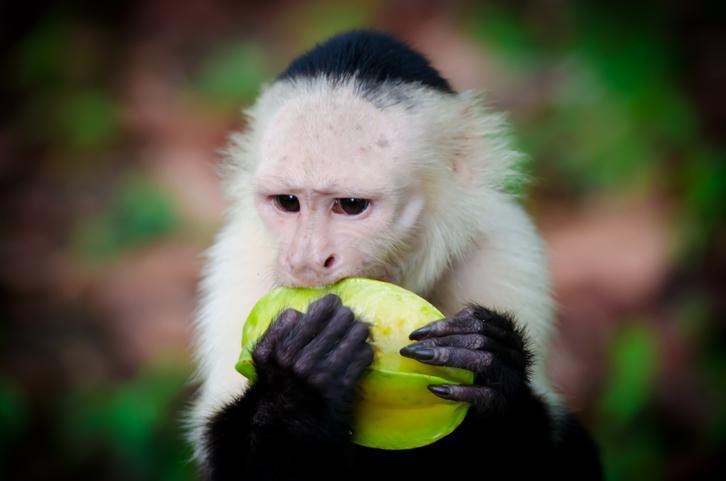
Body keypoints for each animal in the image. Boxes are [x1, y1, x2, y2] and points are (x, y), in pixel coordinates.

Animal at [187, 30, 602, 480]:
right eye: (287, 202)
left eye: (351, 205)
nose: (306, 261)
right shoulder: (239, 252)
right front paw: (297, 380)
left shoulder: (505, 242)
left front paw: (490, 362)